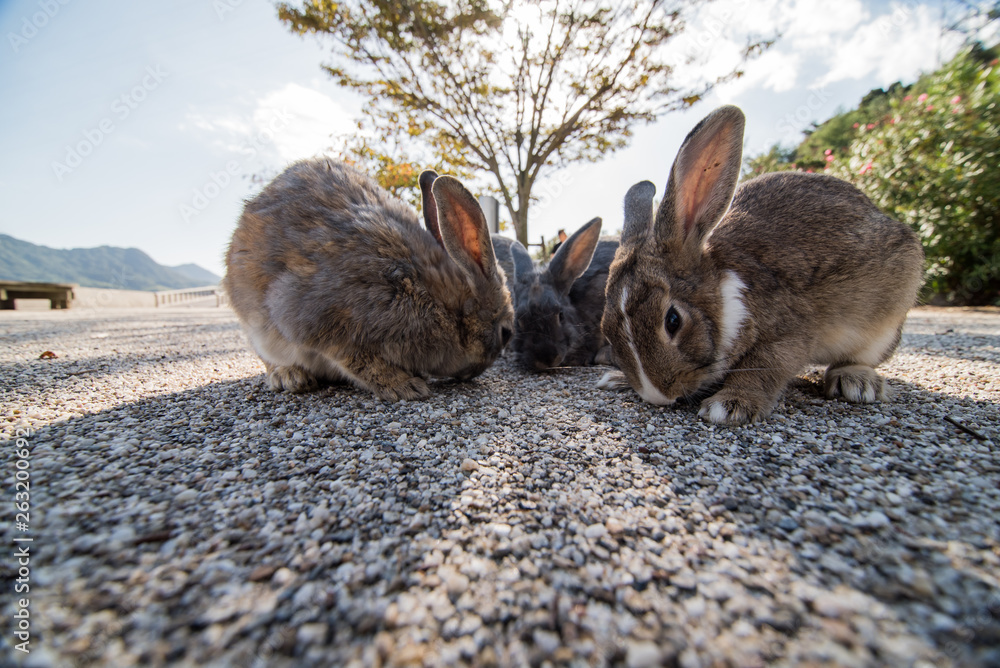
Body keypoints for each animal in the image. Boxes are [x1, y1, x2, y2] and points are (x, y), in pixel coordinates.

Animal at [224, 158, 514, 401]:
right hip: (257, 326)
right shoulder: (322, 319)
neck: (440, 299)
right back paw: (290, 376)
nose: (476, 373)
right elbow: (356, 359)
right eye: (506, 333)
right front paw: (404, 386)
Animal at [599, 105, 924, 425]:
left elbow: (765, 366)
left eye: (673, 321)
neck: (724, 297)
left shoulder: (788, 331)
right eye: (607, 331)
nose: (659, 396)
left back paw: (857, 382)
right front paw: (615, 379)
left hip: (885, 321)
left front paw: (730, 405)